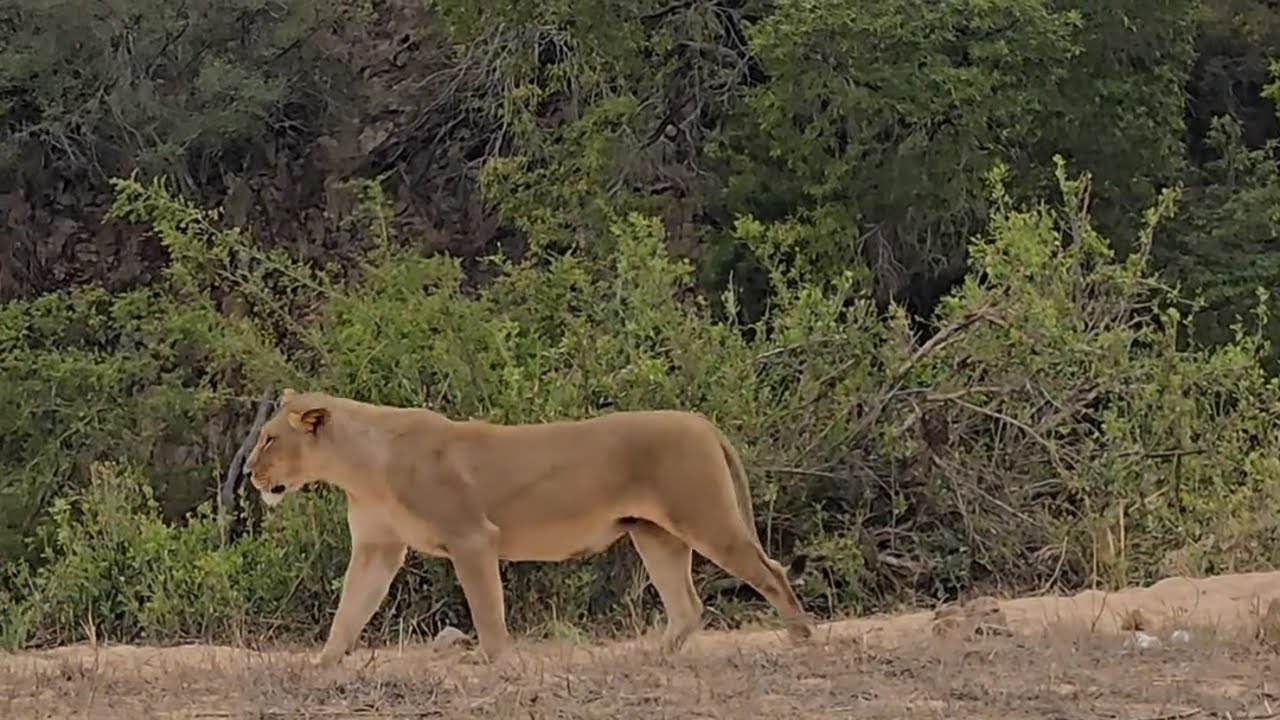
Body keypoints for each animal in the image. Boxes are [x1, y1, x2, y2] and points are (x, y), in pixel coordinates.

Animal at [242, 388, 814, 668]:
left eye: (269, 438)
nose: (248, 471)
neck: (361, 468)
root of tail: (700, 421)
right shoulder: (377, 548)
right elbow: (350, 610)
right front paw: (322, 664)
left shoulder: (472, 536)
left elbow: (486, 609)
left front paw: (494, 662)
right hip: (655, 534)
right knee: (689, 606)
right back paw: (652, 657)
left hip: (704, 517)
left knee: (770, 572)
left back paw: (801, 638)